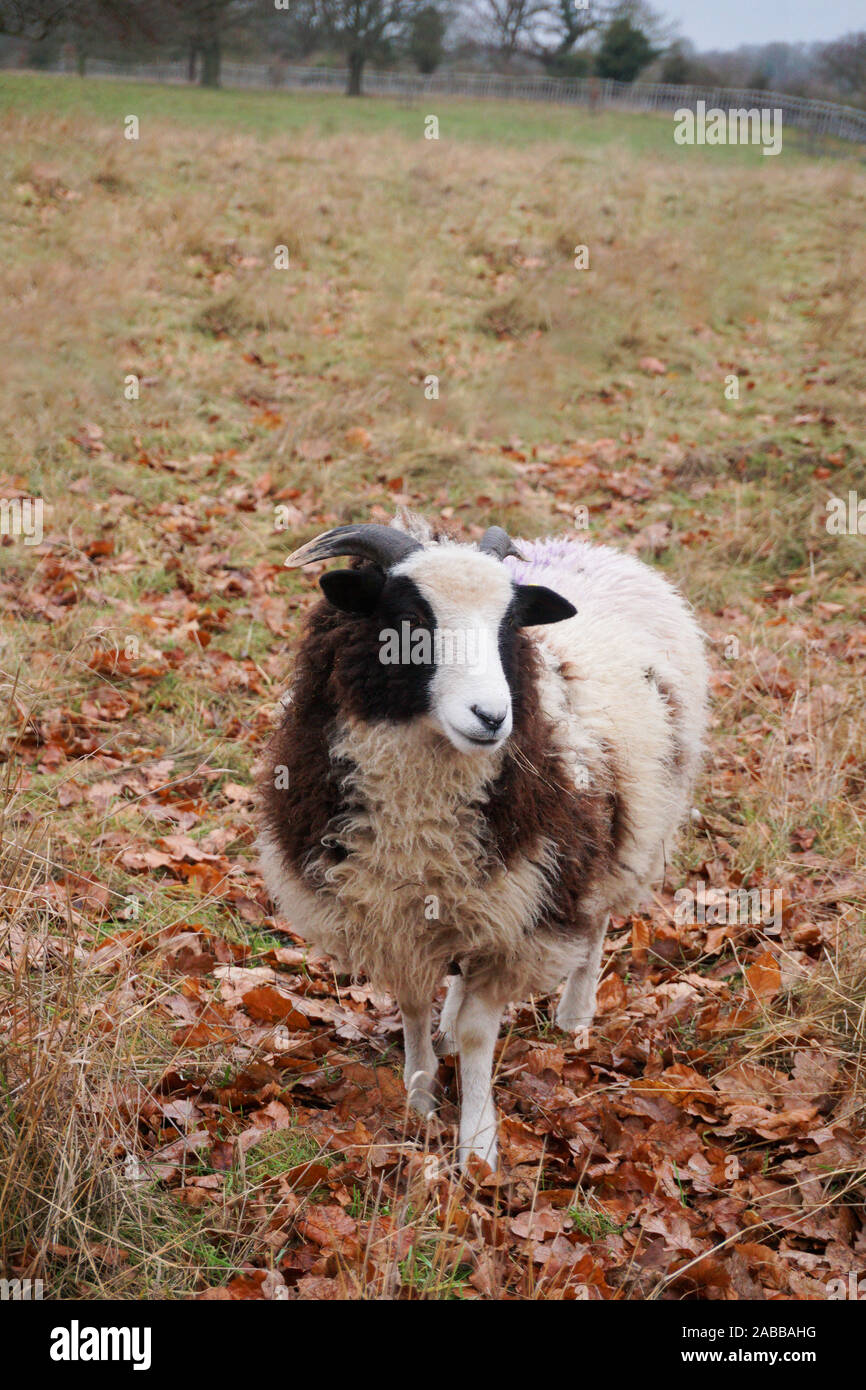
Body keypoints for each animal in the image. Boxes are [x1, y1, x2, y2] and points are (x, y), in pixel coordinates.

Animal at [258, 513, 708, 1169]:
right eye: (410, 618)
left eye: (508, 626)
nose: (492, 717)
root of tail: (589, 548)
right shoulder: (391, 912)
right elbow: (413, 1005)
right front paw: (419, 1095)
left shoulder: (521, 911)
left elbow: (479, 1031)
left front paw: (477, 1144)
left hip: (628, 828)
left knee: (599, 917)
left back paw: (575, 1015)